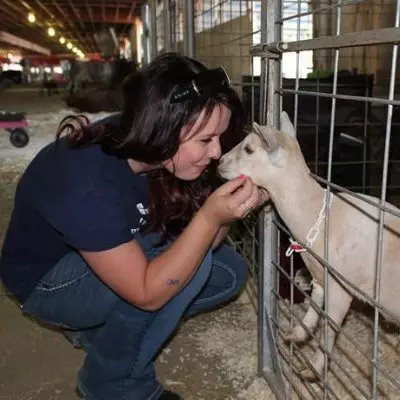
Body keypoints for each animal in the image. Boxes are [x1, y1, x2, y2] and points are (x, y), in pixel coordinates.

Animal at [219, 114, 400, 380]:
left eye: (249, 149)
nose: (220, 162)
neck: (317, 214)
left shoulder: (340, 287)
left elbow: (330, 326)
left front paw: (313, 368)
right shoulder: (319, 278)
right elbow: (315, 307)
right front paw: (298, 333)